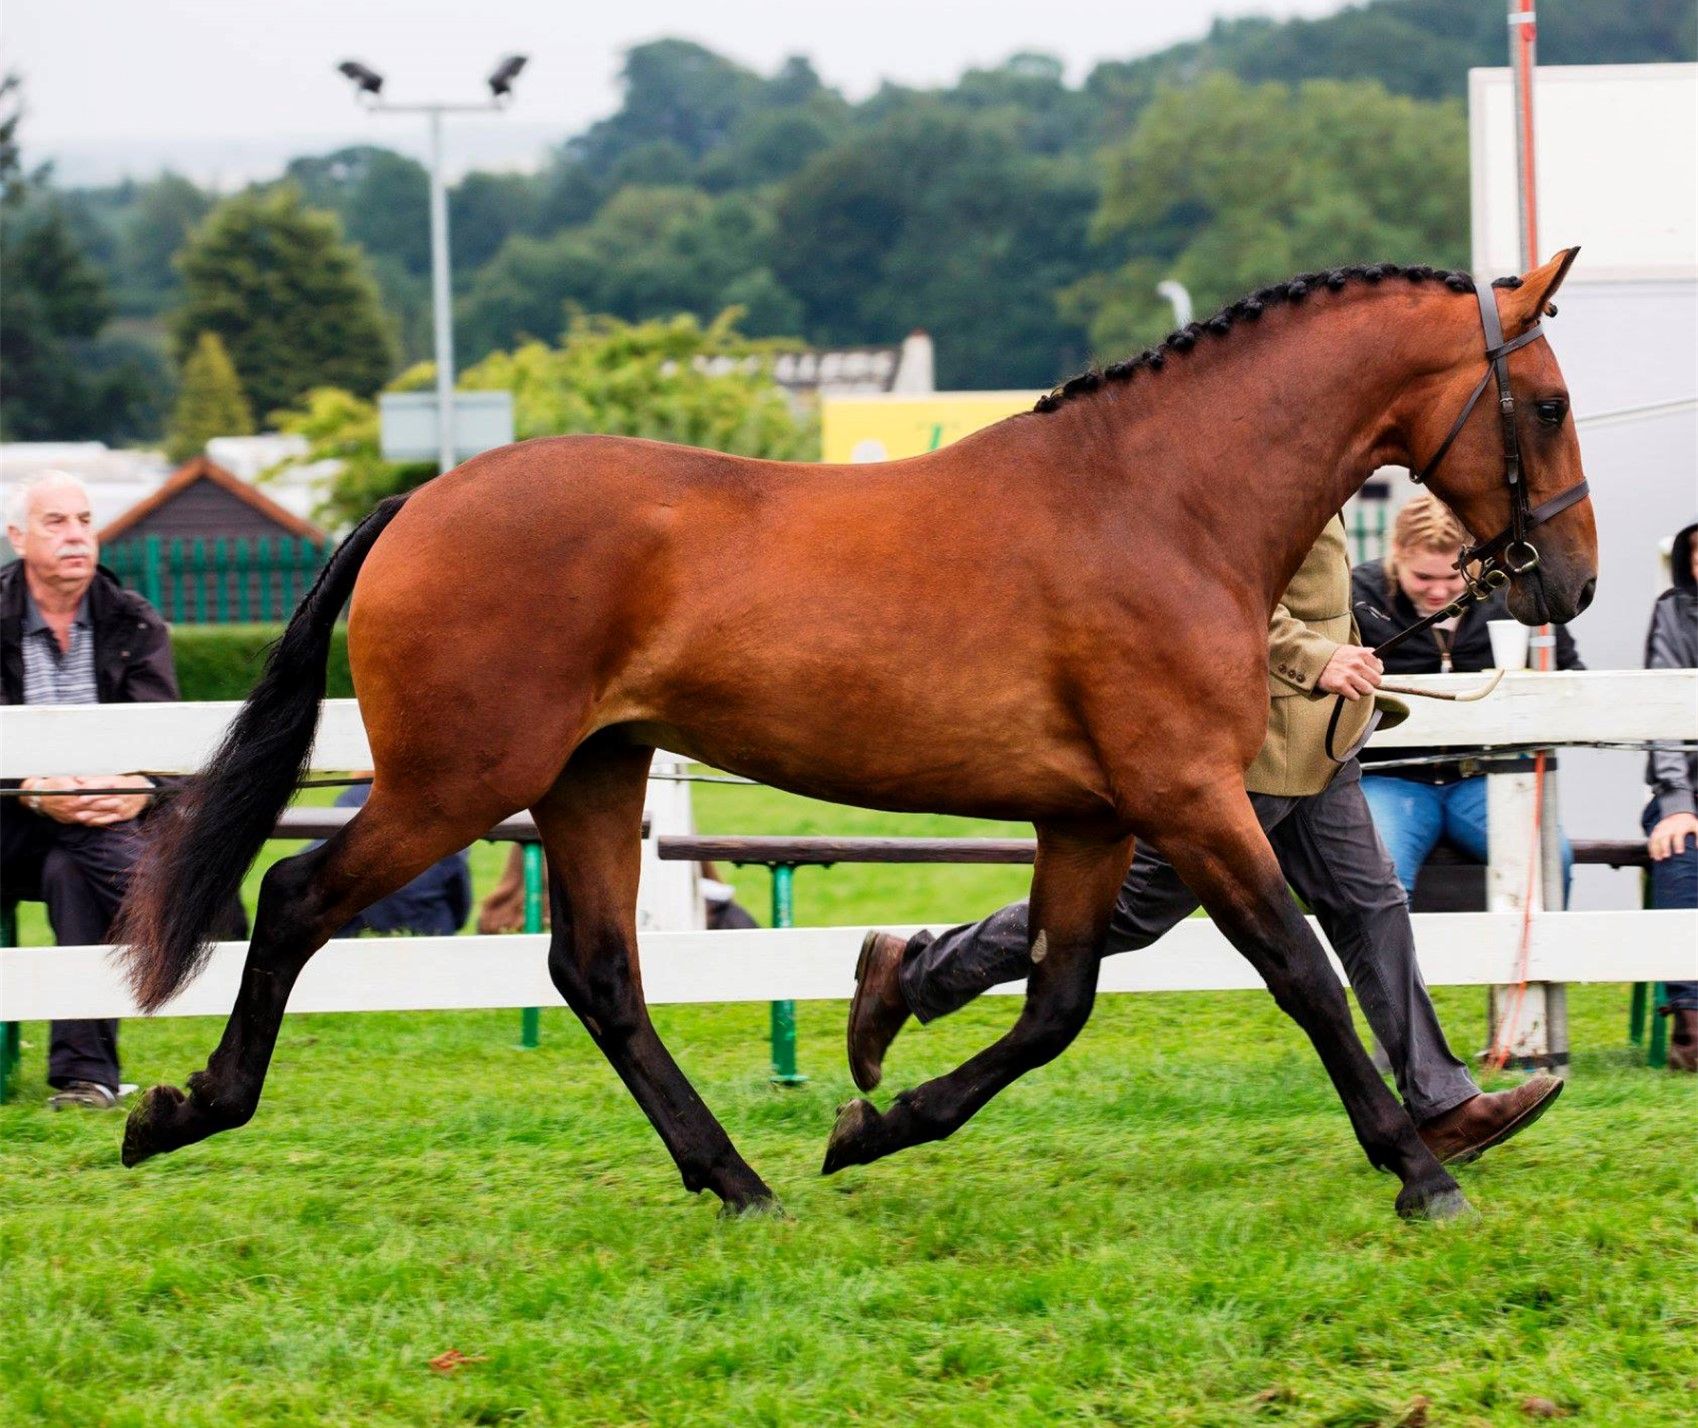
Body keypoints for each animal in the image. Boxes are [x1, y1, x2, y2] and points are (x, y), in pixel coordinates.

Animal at [116, 250, 1594, 1222]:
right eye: (1548, 402)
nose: (1567, 585)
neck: (1158, 502)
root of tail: (417, 504)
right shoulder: (1186, 797)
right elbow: (1301, 970)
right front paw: (1422, 1174)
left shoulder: (1090, 815)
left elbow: (1054, 1003)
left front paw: (874, 1124)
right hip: (459, 780)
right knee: (297, 897)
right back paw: (183, 1109)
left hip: (593, 776)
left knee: (598, 972)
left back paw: (740, 1181)